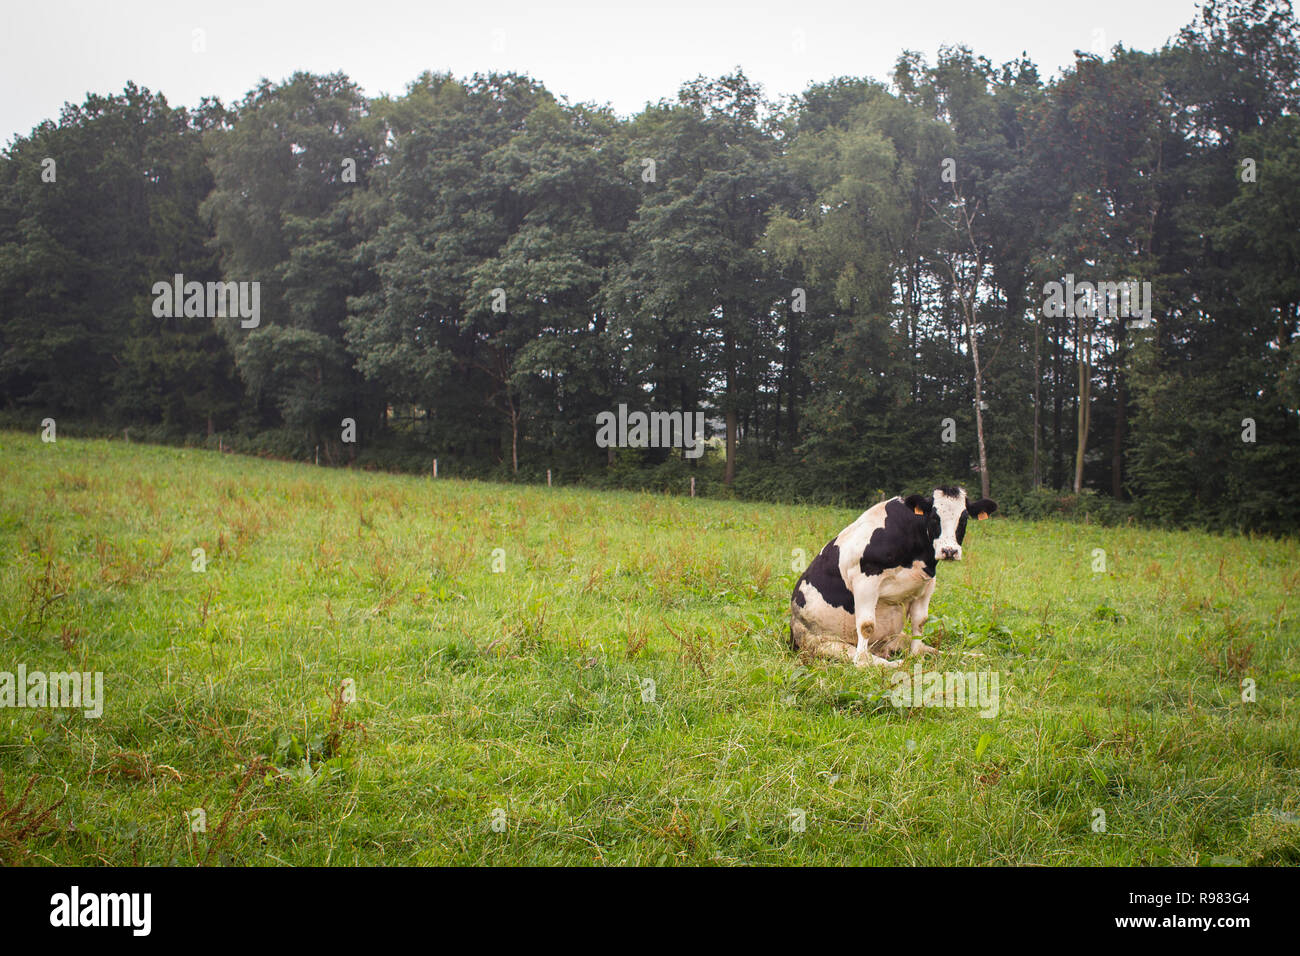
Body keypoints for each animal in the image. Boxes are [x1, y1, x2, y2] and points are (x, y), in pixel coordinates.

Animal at [789, 486, 997, 668]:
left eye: (964, 518)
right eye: (934, 517)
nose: (950, 551)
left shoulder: (927, 584)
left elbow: (920, 622)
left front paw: (917, 655)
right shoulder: (865, 580)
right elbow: (866, 626)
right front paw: (869, 663)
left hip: (895, 638)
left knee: (929, 649)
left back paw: (971, 656)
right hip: (827, 645)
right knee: (867, 657)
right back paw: (891, 663)